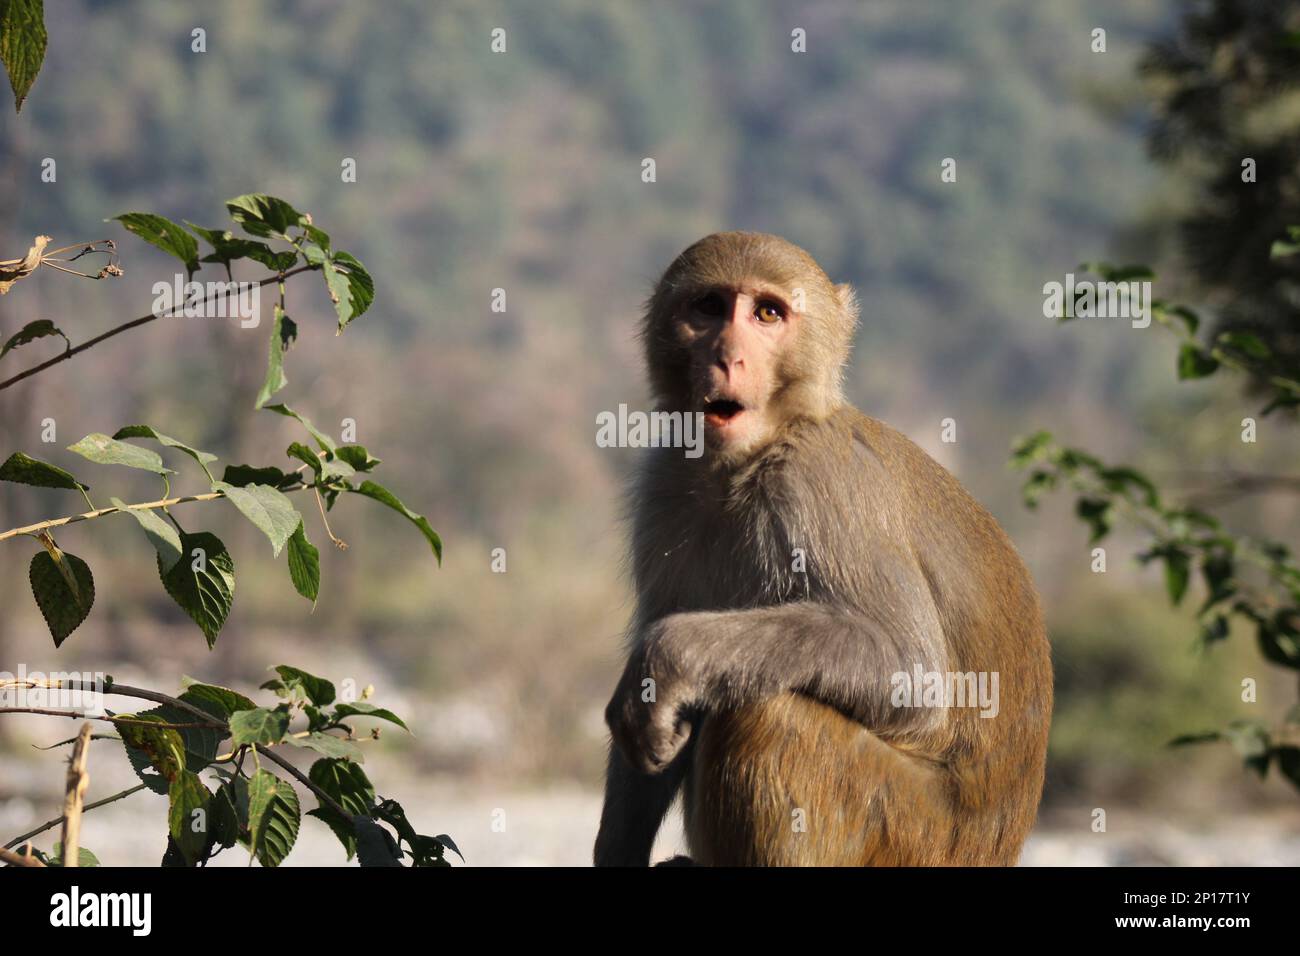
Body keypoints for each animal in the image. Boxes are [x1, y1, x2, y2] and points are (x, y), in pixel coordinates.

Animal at [593, 232, 1052, 867]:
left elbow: (911, 671)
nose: (727, 357)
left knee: (771, 713)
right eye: (710, 307)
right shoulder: (665, 487)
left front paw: (669, 658)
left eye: (767, 314)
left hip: (910, 836)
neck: (751, 459)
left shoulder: (820, 483)